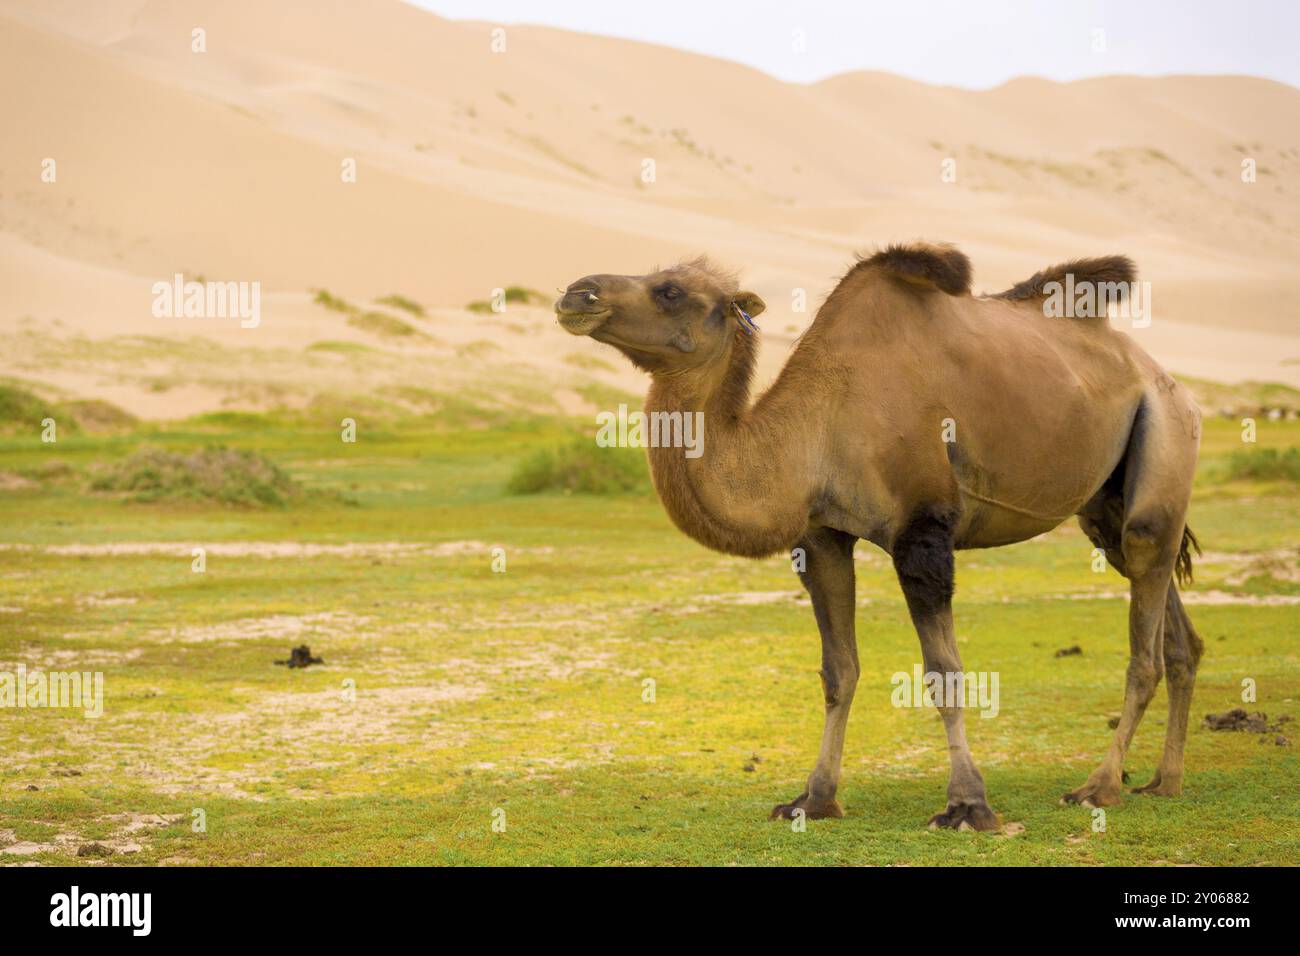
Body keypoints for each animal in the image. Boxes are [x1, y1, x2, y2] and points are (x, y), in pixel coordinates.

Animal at [555, 243, 1203, 830]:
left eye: (670, 290)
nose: (576, 293)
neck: (815, 430)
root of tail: (1164, 376)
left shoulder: (923, 531)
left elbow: (944, 674)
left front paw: (968, 806)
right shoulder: (821, 537)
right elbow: (838, 671)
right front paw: (812, 799)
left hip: (1164, 435)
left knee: (1145, 634)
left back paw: (1099, 786)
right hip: (1105, 505)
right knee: (1172, 623)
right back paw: (1163, 781)